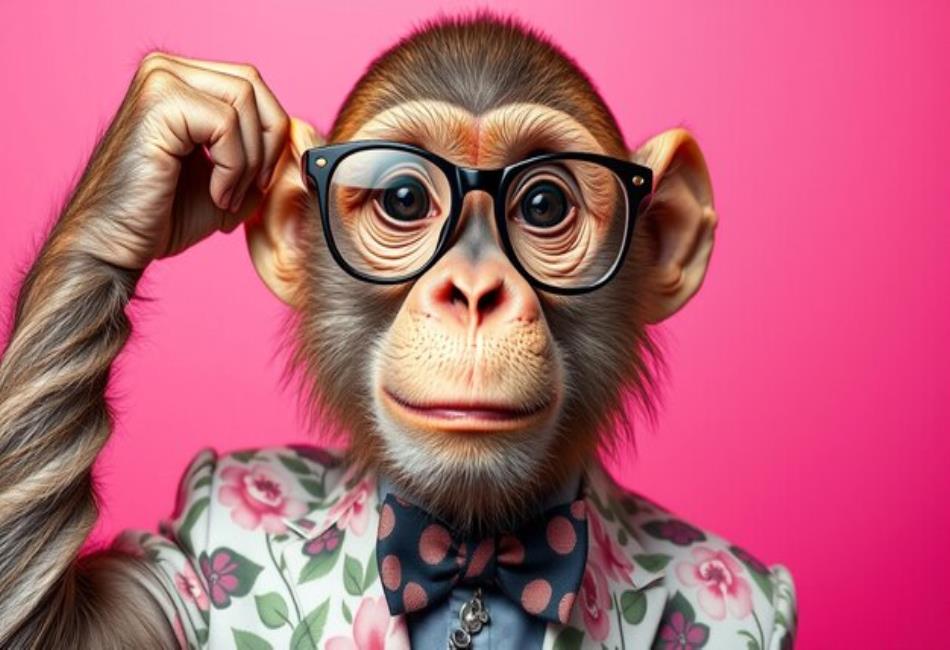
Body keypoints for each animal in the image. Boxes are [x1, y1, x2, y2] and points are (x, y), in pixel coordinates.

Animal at [0, 13, 797, 649]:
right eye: (406, 197)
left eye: (543, 205)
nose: (473, 294)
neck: (475, 560)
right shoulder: (188, 545)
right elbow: (66, 629)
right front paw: (162, 148)